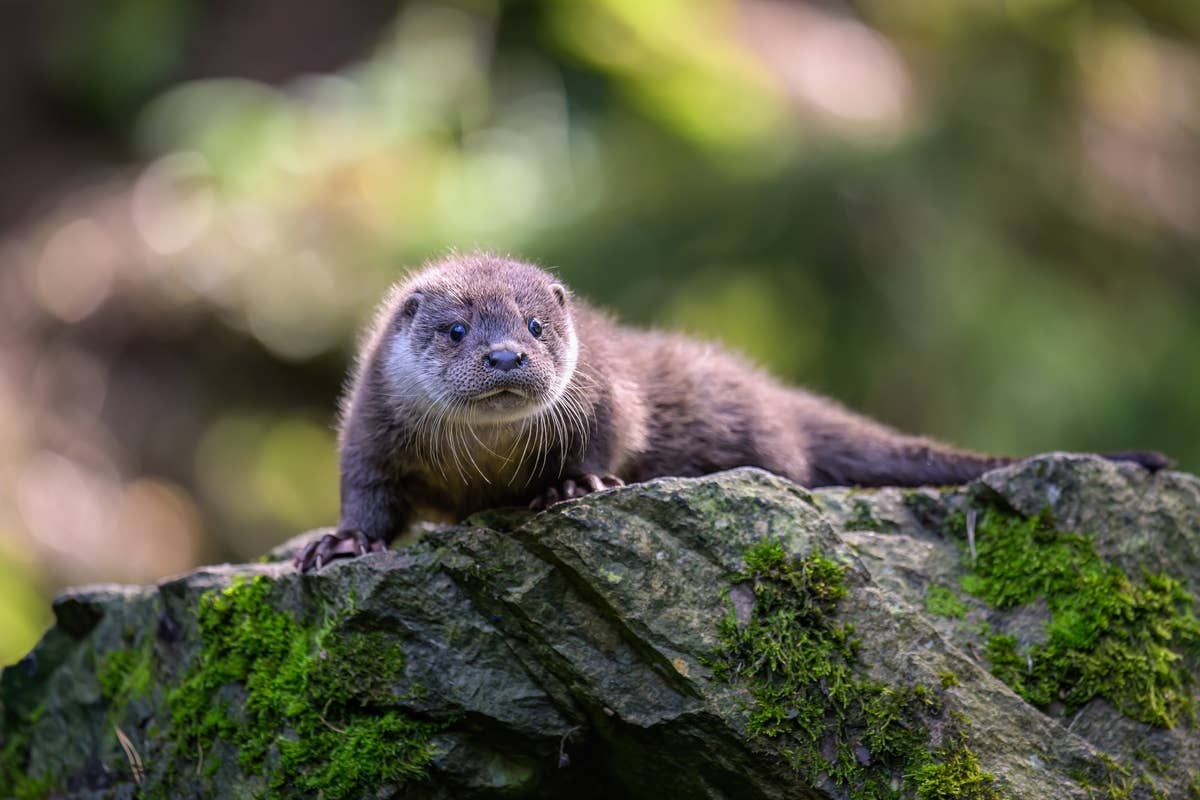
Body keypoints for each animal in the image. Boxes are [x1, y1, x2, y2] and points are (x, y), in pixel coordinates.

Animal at [295, 253, 1169, 571]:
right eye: (456, 330)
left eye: (536, 327)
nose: (506, 356)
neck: (483, 463)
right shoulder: (369, 423)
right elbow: (366, 489)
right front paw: (342, 542)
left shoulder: (608, 393)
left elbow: (614, 438)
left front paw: (573, 489)